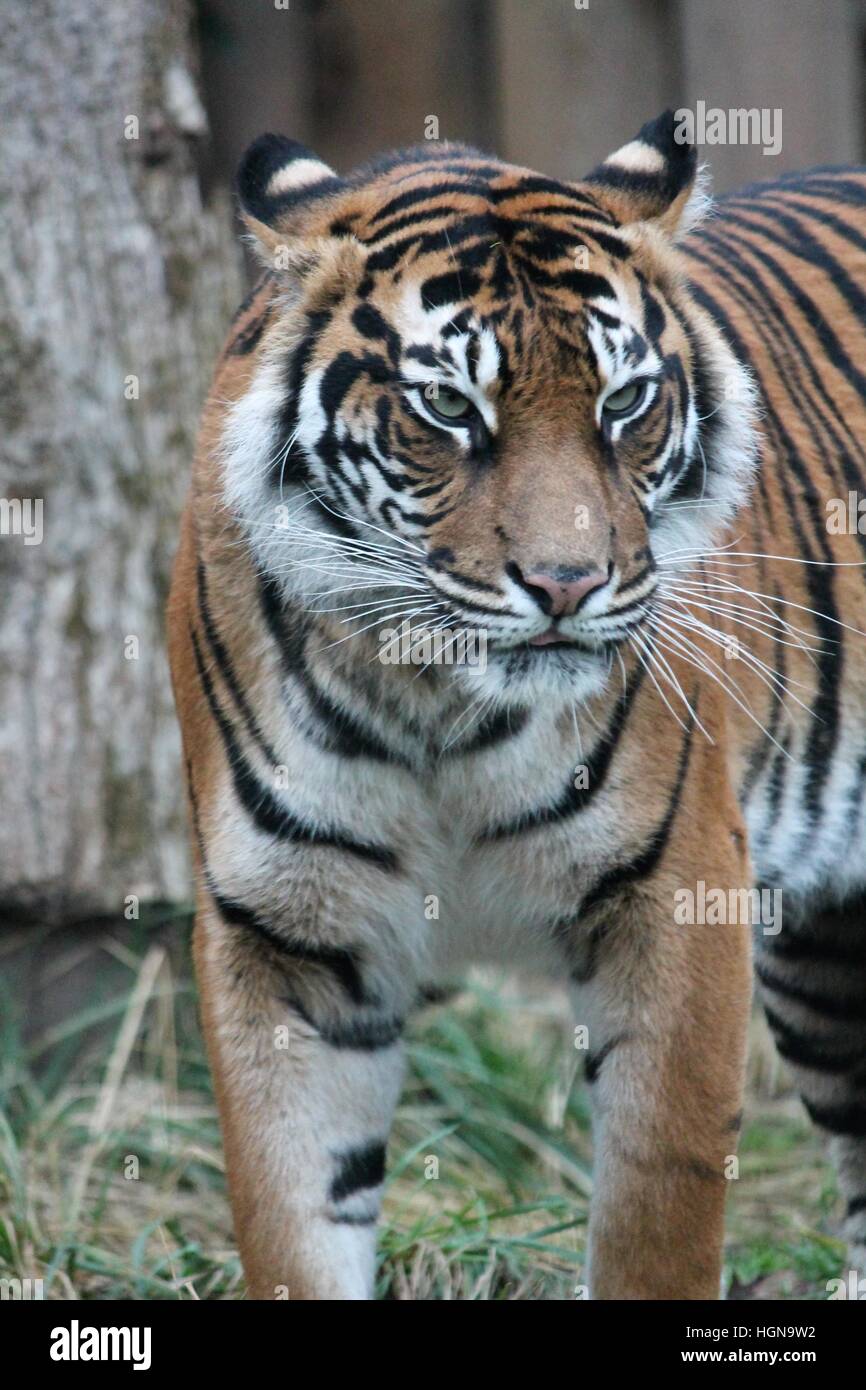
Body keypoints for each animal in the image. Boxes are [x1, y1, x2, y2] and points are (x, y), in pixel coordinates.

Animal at [167, 110, 866, 1300]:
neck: (432, 698)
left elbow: (652, 1222)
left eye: (624, 401)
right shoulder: (283, 938)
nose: (567, 583)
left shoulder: (673, 896)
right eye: (449, 407)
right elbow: (294, 1223)